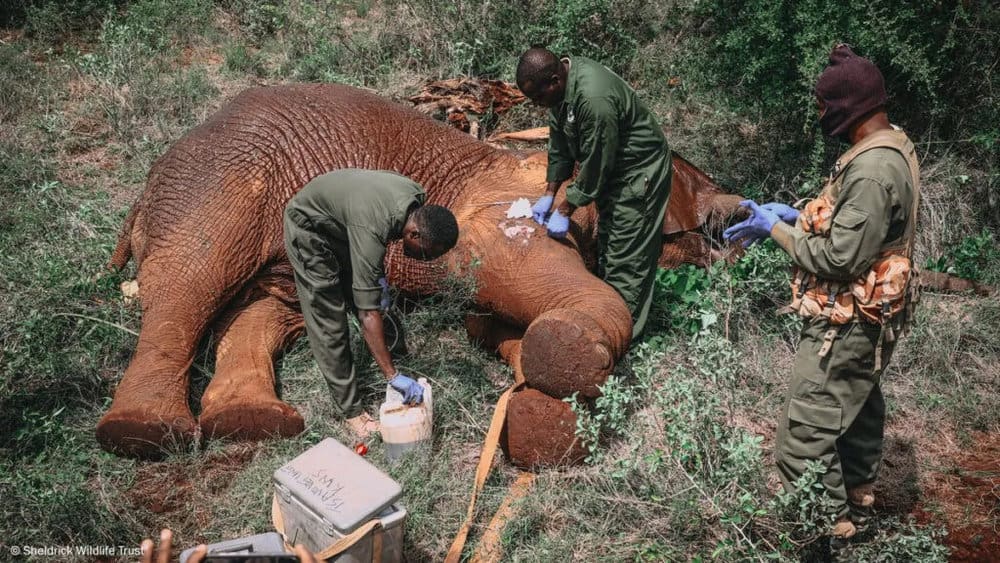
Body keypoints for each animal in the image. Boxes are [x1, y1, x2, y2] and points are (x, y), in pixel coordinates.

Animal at [97, 83, 744, 463]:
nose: (742, 215)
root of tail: (148, 184)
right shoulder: (502, 218)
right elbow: (539, 280)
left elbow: (490, 326)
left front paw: (541, 421)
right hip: (217, 184)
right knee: (189, 282)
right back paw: (144, 436)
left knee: (265, 306)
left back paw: (250, 425)